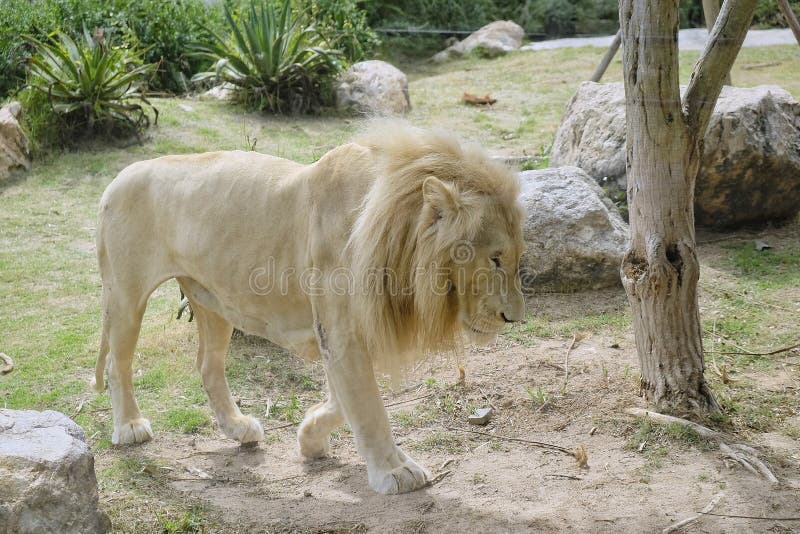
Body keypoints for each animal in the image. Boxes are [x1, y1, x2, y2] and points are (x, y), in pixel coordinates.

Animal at [93, 122, 525, 494]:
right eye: (494, 259)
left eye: (517, 256)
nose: (515, 318)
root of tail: (116, 178)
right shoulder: (341, 332)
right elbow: (368, 406)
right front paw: (395, 471)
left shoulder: (342, 333)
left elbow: (343, 400)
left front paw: (310, 438)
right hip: (127, 295)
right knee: (118, 362)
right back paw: (129, 428)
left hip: (209, 299)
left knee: (207, 364)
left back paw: (238, 428)